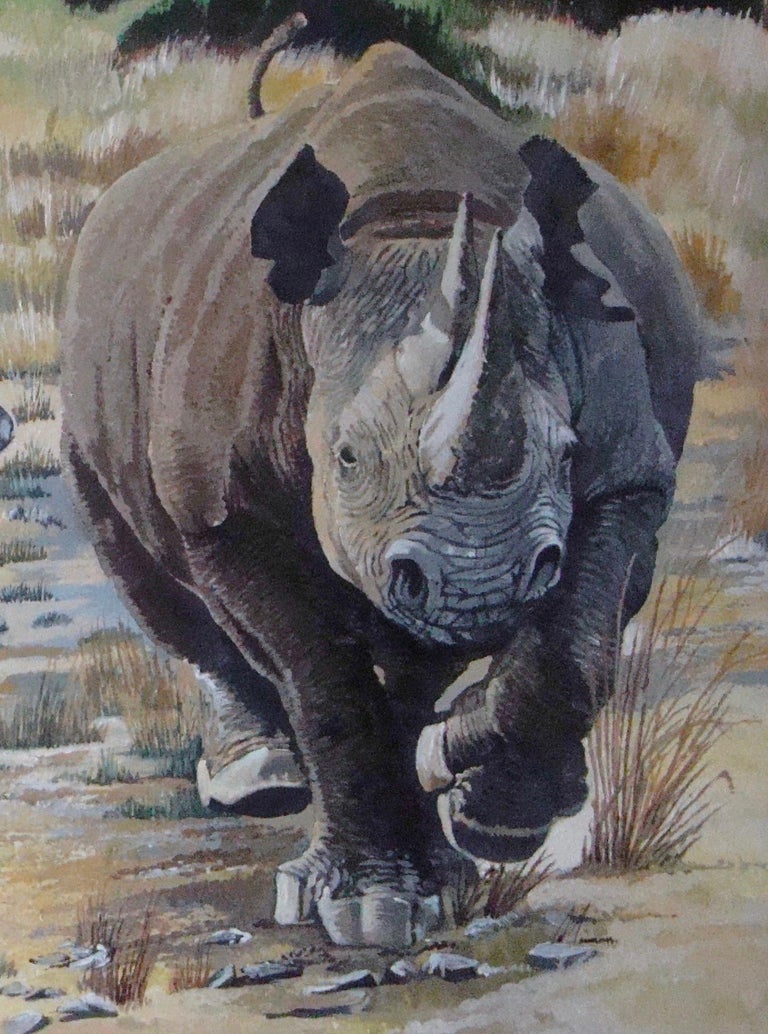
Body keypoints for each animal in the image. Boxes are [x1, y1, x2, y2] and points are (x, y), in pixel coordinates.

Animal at [61, 41, 699, 947]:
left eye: (567, 452)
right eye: (348, 455)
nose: (478, 586)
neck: (414, 211)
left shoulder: (624, 466)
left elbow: (567, 652)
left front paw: (480, 819)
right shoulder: (220, 509)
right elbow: (324, 681)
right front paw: (368, 907)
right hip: (91, 367)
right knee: (151, 577)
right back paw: (260, 780)